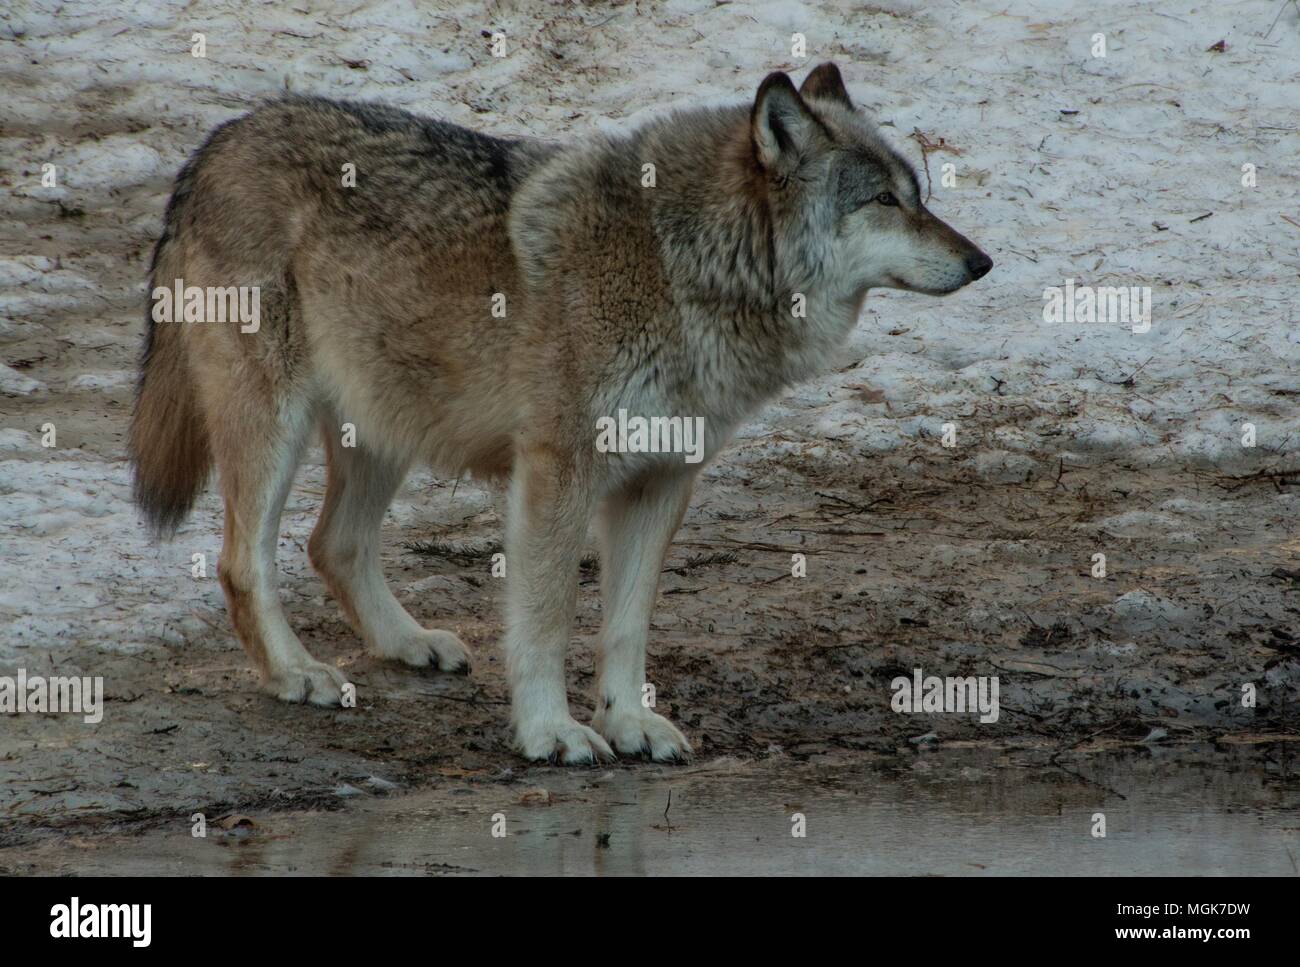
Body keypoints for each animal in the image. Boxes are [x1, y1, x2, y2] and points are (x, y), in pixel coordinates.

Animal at [129, 63, 991, 764]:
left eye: (918, 196)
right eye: (884, 200)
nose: (982, 260)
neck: (682, 265)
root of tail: (217, 141)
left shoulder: (662, 481)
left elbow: (627, 623)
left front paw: (629, 722)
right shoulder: (558, 470)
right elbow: (545, 618)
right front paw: (550, 732)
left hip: (384, 424)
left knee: (332, 544)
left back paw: (408, 643)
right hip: (277, 427)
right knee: (245, 562)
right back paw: (295, 672)